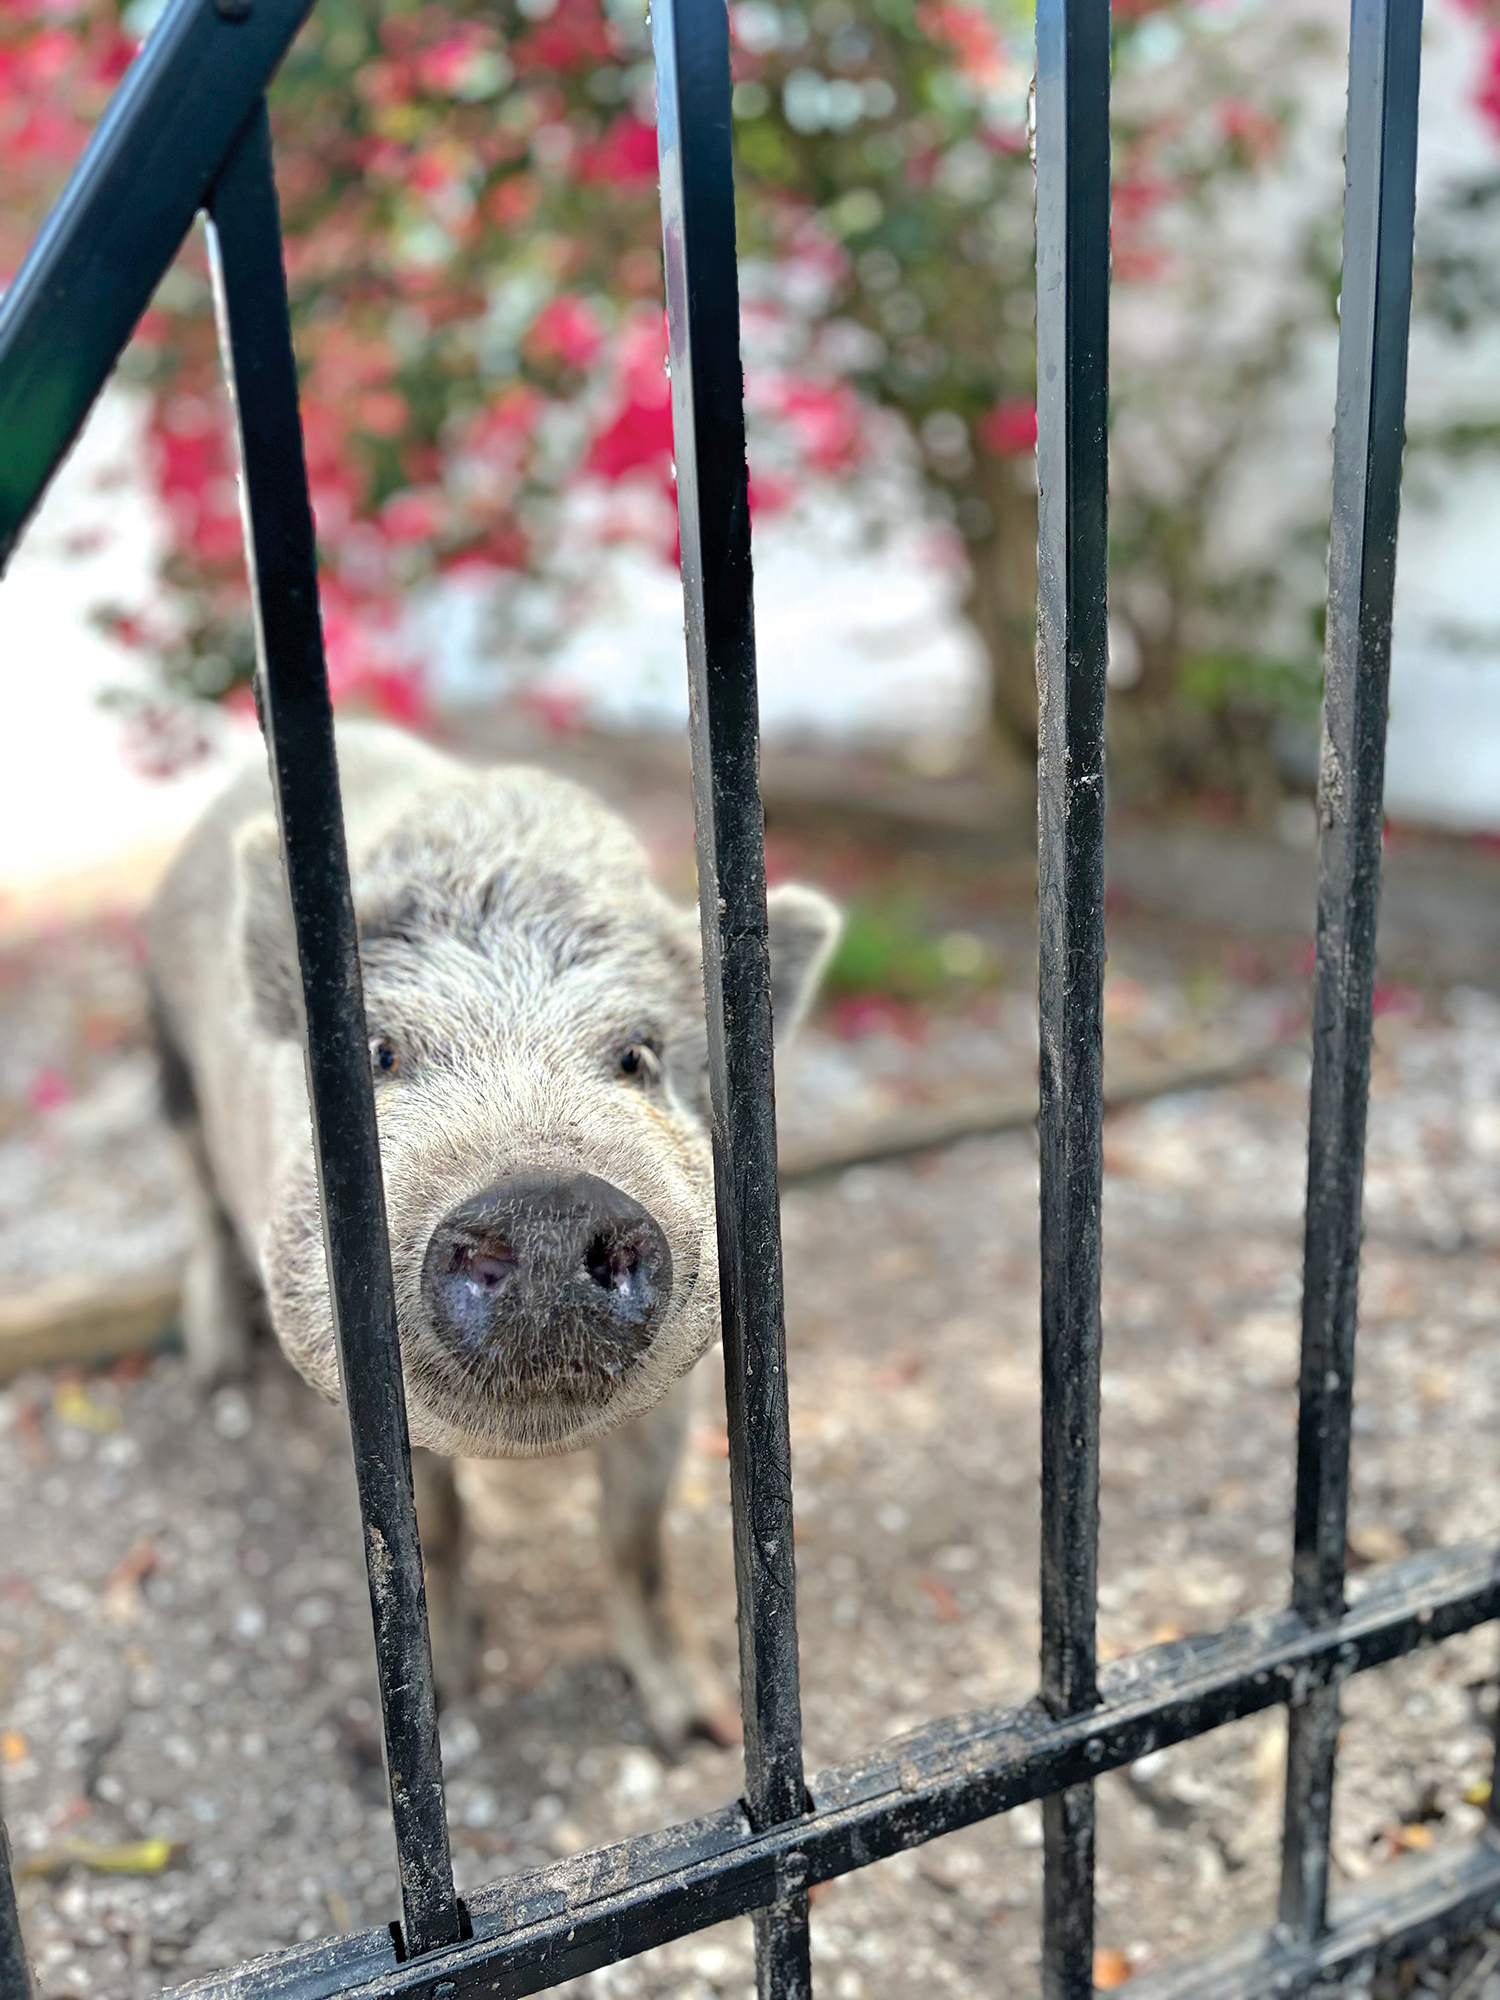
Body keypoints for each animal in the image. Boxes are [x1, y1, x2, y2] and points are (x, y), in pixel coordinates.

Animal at [145, 720, 839, 1749]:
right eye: (381, 1054)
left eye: (637, 1058)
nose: (545, 1202)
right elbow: (433, 1533)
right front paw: (446, 1698)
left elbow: (634, 1533)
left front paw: (699, 1728)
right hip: (166, 1058)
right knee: (195, 1199)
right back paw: (214, 1367)